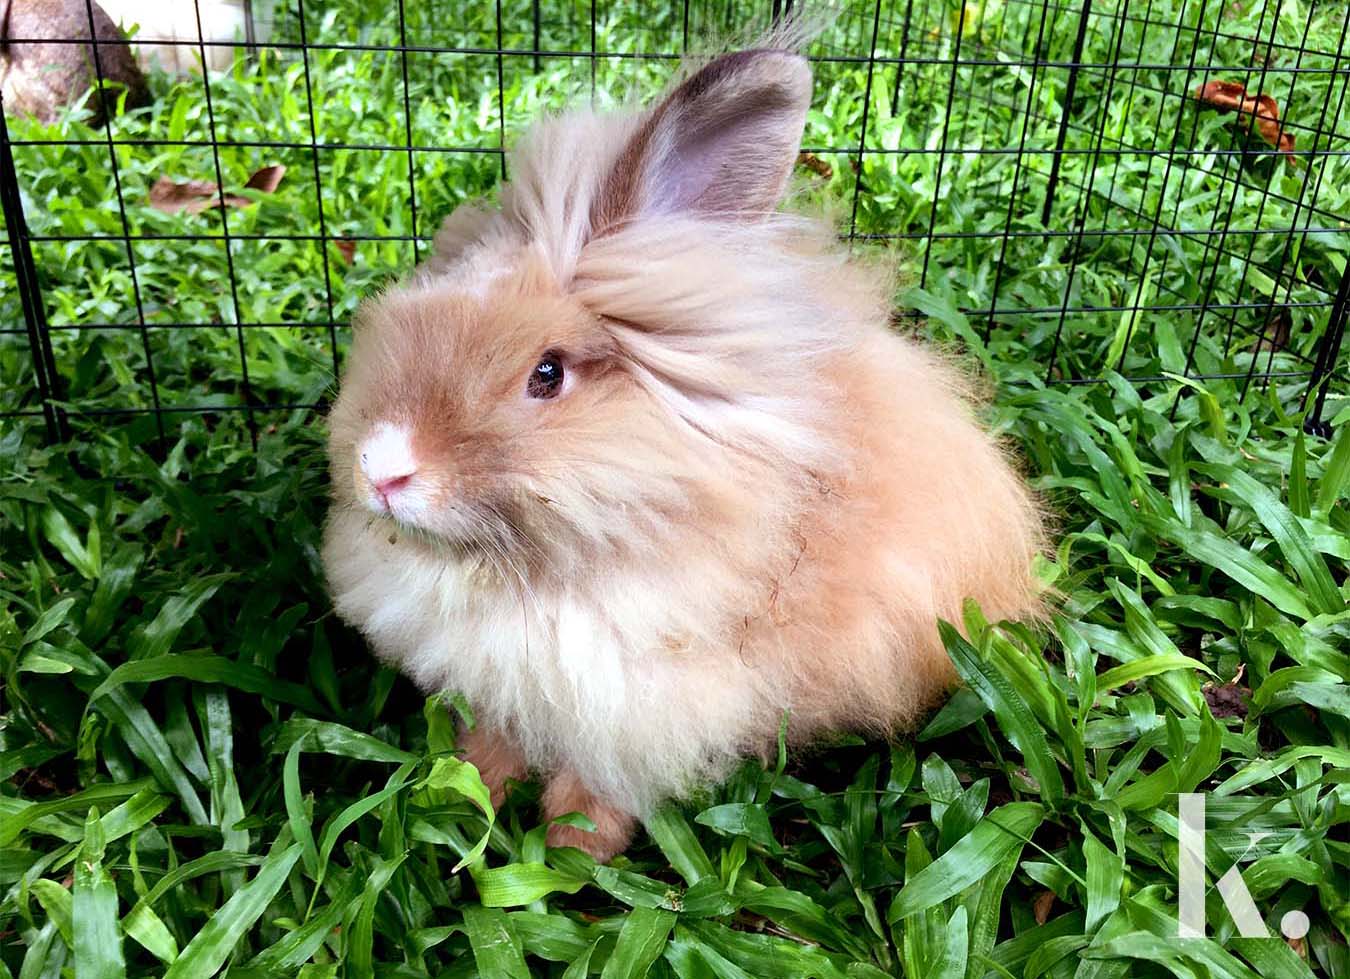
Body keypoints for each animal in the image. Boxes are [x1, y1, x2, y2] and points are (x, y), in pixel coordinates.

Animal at [322, 46, 1046, 862]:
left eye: (548, 373)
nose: (382, 468)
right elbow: (496, 746)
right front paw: (468, 792)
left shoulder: (634, 706)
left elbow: (599, 785)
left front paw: (575, 852)